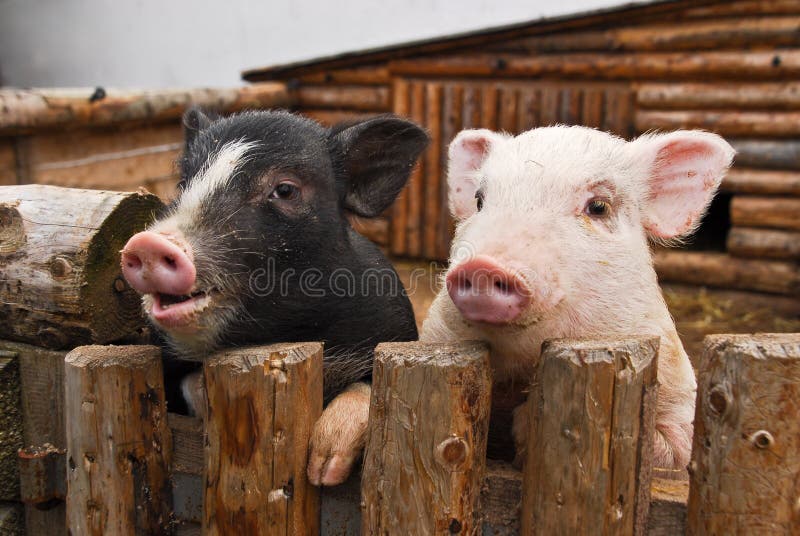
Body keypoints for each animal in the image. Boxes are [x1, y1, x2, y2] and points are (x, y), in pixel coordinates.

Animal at [120, 108, 429, 486]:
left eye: (285, 189)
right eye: (183, 184)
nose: (147, 243)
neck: (283, 332)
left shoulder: (395, 327)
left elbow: (368, 388)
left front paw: (323, 472)